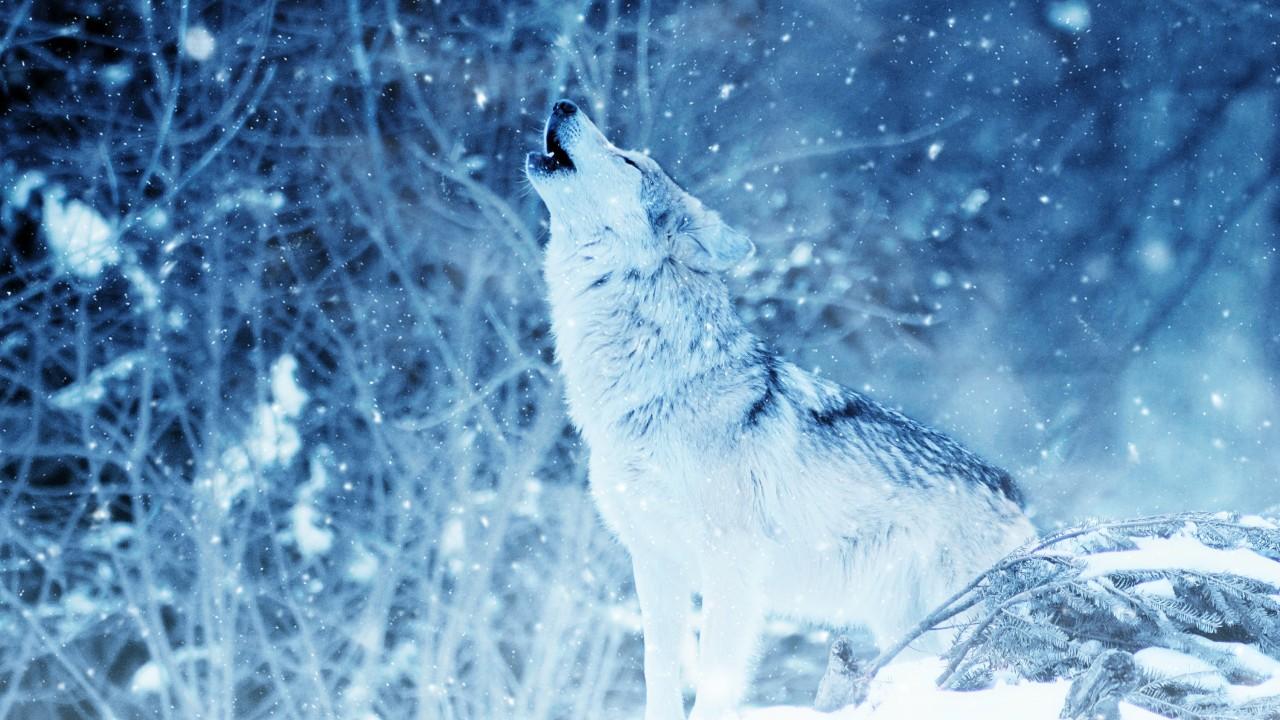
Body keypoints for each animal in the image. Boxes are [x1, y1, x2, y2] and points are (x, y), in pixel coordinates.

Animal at [525, 100, 1035, 720]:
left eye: (628, 160)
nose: (564, 103)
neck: (656, 385)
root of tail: (1014, 492)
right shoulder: (655, 563)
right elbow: (658, 675)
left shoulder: (731, 568)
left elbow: (716, 684)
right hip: (906, 628)